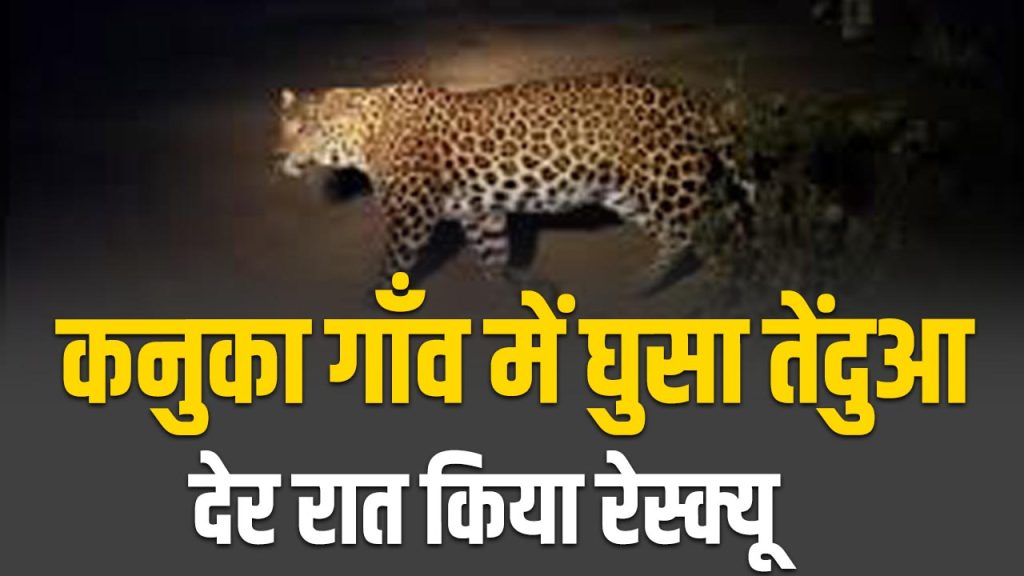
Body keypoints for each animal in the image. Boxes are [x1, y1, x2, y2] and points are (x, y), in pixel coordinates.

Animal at [275, 73, 754, 291]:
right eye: (283, 126)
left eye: (305, 128)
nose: (278, 155)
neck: (365, 138)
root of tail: (692, 98)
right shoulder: (480, 213)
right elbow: (494, 258)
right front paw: (516, 291)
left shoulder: (411, 216)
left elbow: (391, 270)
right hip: (629, 193)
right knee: (680, 236)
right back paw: (643, 284)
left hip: (664, 181)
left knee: (713, 229)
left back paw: (724, 288)